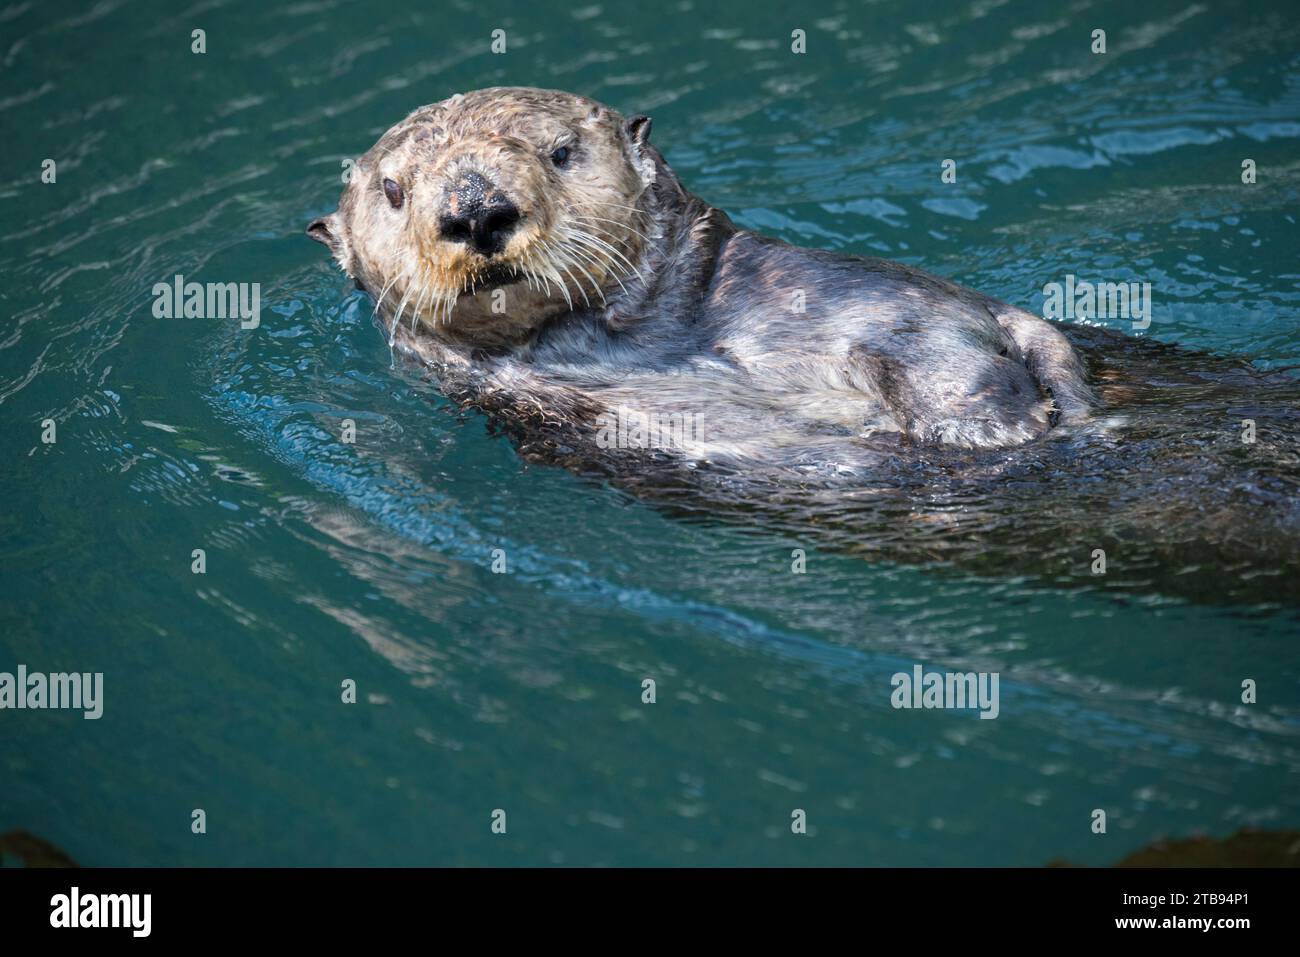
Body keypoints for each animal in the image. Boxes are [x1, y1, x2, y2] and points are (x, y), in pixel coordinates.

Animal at [308, 87, 1300, 602]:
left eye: (558, 152)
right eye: (394, 190)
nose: (475, 208)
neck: (645, 344)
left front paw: (988, 427)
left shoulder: (847, 290)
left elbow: (951, 333)